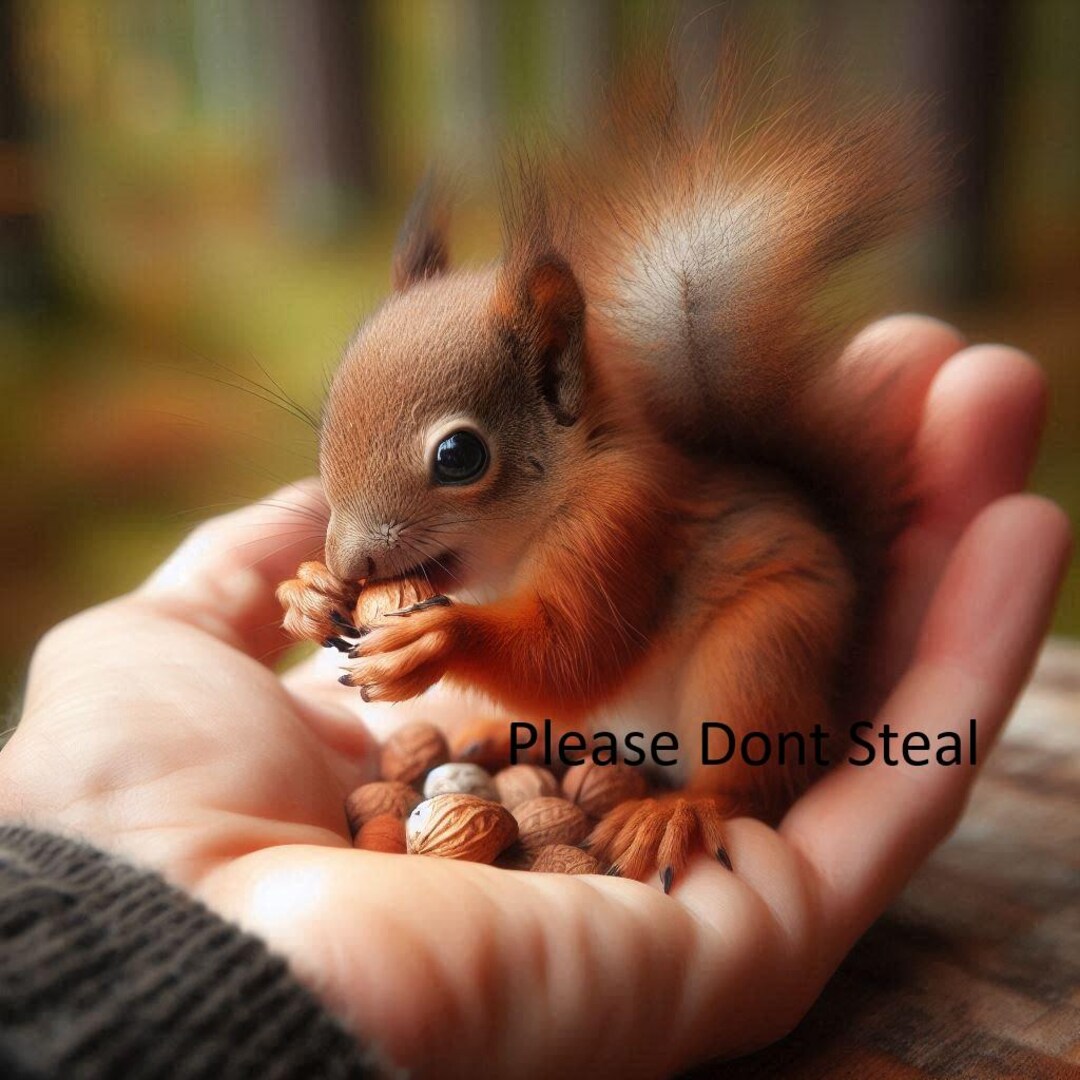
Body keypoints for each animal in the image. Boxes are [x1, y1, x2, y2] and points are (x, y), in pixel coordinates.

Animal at [276, 48, 936, 888]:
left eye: (459, 456)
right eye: (328, 415)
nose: (348, 561)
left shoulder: (624, 527)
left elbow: (575, 655)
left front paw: (433, 642)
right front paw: (307, 592)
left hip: (765, 649)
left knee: (755, 778)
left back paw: (677, 811)